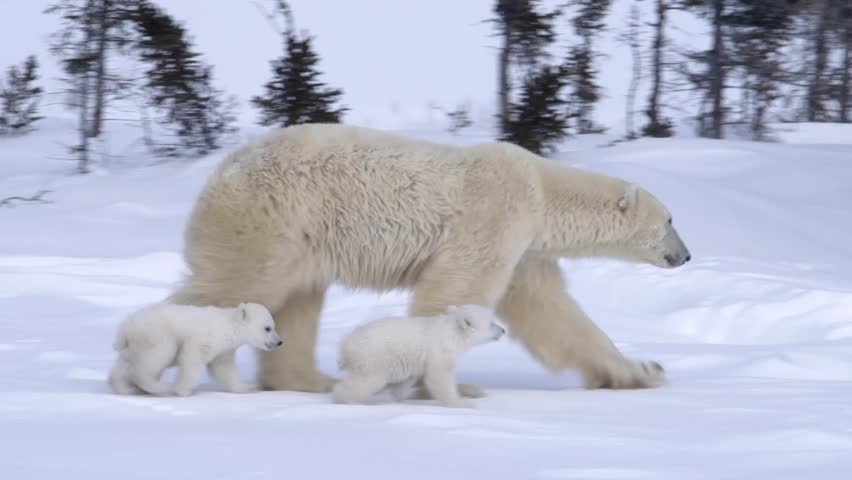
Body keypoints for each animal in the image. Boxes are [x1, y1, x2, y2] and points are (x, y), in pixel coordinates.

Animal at [108, 302, 283, 396]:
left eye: (274, 325)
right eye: (268, 328)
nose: (280, 342)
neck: (228, 325)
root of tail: (127, 328)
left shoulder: (223, 350)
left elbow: (224, 369)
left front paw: (247, 387)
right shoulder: (203, 339)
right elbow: (193, 359)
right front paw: (183, 390)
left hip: (134, 345)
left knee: (125, 364)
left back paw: (124, 388)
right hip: (158, 334)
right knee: (156, 357)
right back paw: (160, 387)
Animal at [167, 123, 690, 396]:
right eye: (669, 219)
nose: (685, 255)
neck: (543, 191)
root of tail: (218, 173)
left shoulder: (527, 252)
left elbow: (553, 314)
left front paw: (641, 371)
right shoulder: (497, 214)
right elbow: (457, 287)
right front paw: (445, 383)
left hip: (304, 240)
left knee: (297, 302)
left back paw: (309, 380)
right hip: (270, 221)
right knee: (231, 286)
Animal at [332, 304, 506, 408]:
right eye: (491, 323)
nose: (503, 330)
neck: (453, 332)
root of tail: (345, 344)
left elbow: (407, 379)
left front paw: (401, 399)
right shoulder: (440, 351)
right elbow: (440, 377)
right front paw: (461, 402)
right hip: (373, 358)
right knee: (367, 380)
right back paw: (347, 399)